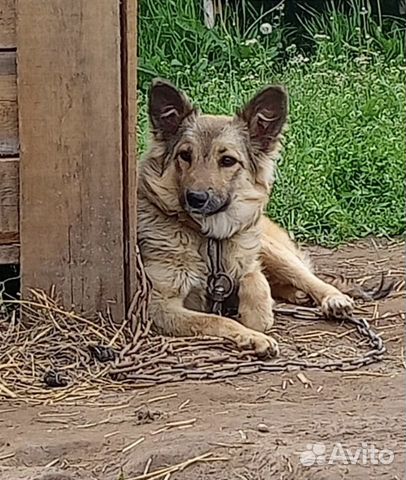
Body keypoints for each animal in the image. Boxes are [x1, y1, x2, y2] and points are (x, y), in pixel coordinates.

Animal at [138, 79, 354, 356]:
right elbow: (216, 319)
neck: (212, 241)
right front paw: (252, 336)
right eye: (184, 156)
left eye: (228, 160)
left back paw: (330, 297)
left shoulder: (246, 260)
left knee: (304, 275)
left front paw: (256, 314)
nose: (195, 198)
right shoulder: (160, 304)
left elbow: (255, 282)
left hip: (270, 248)